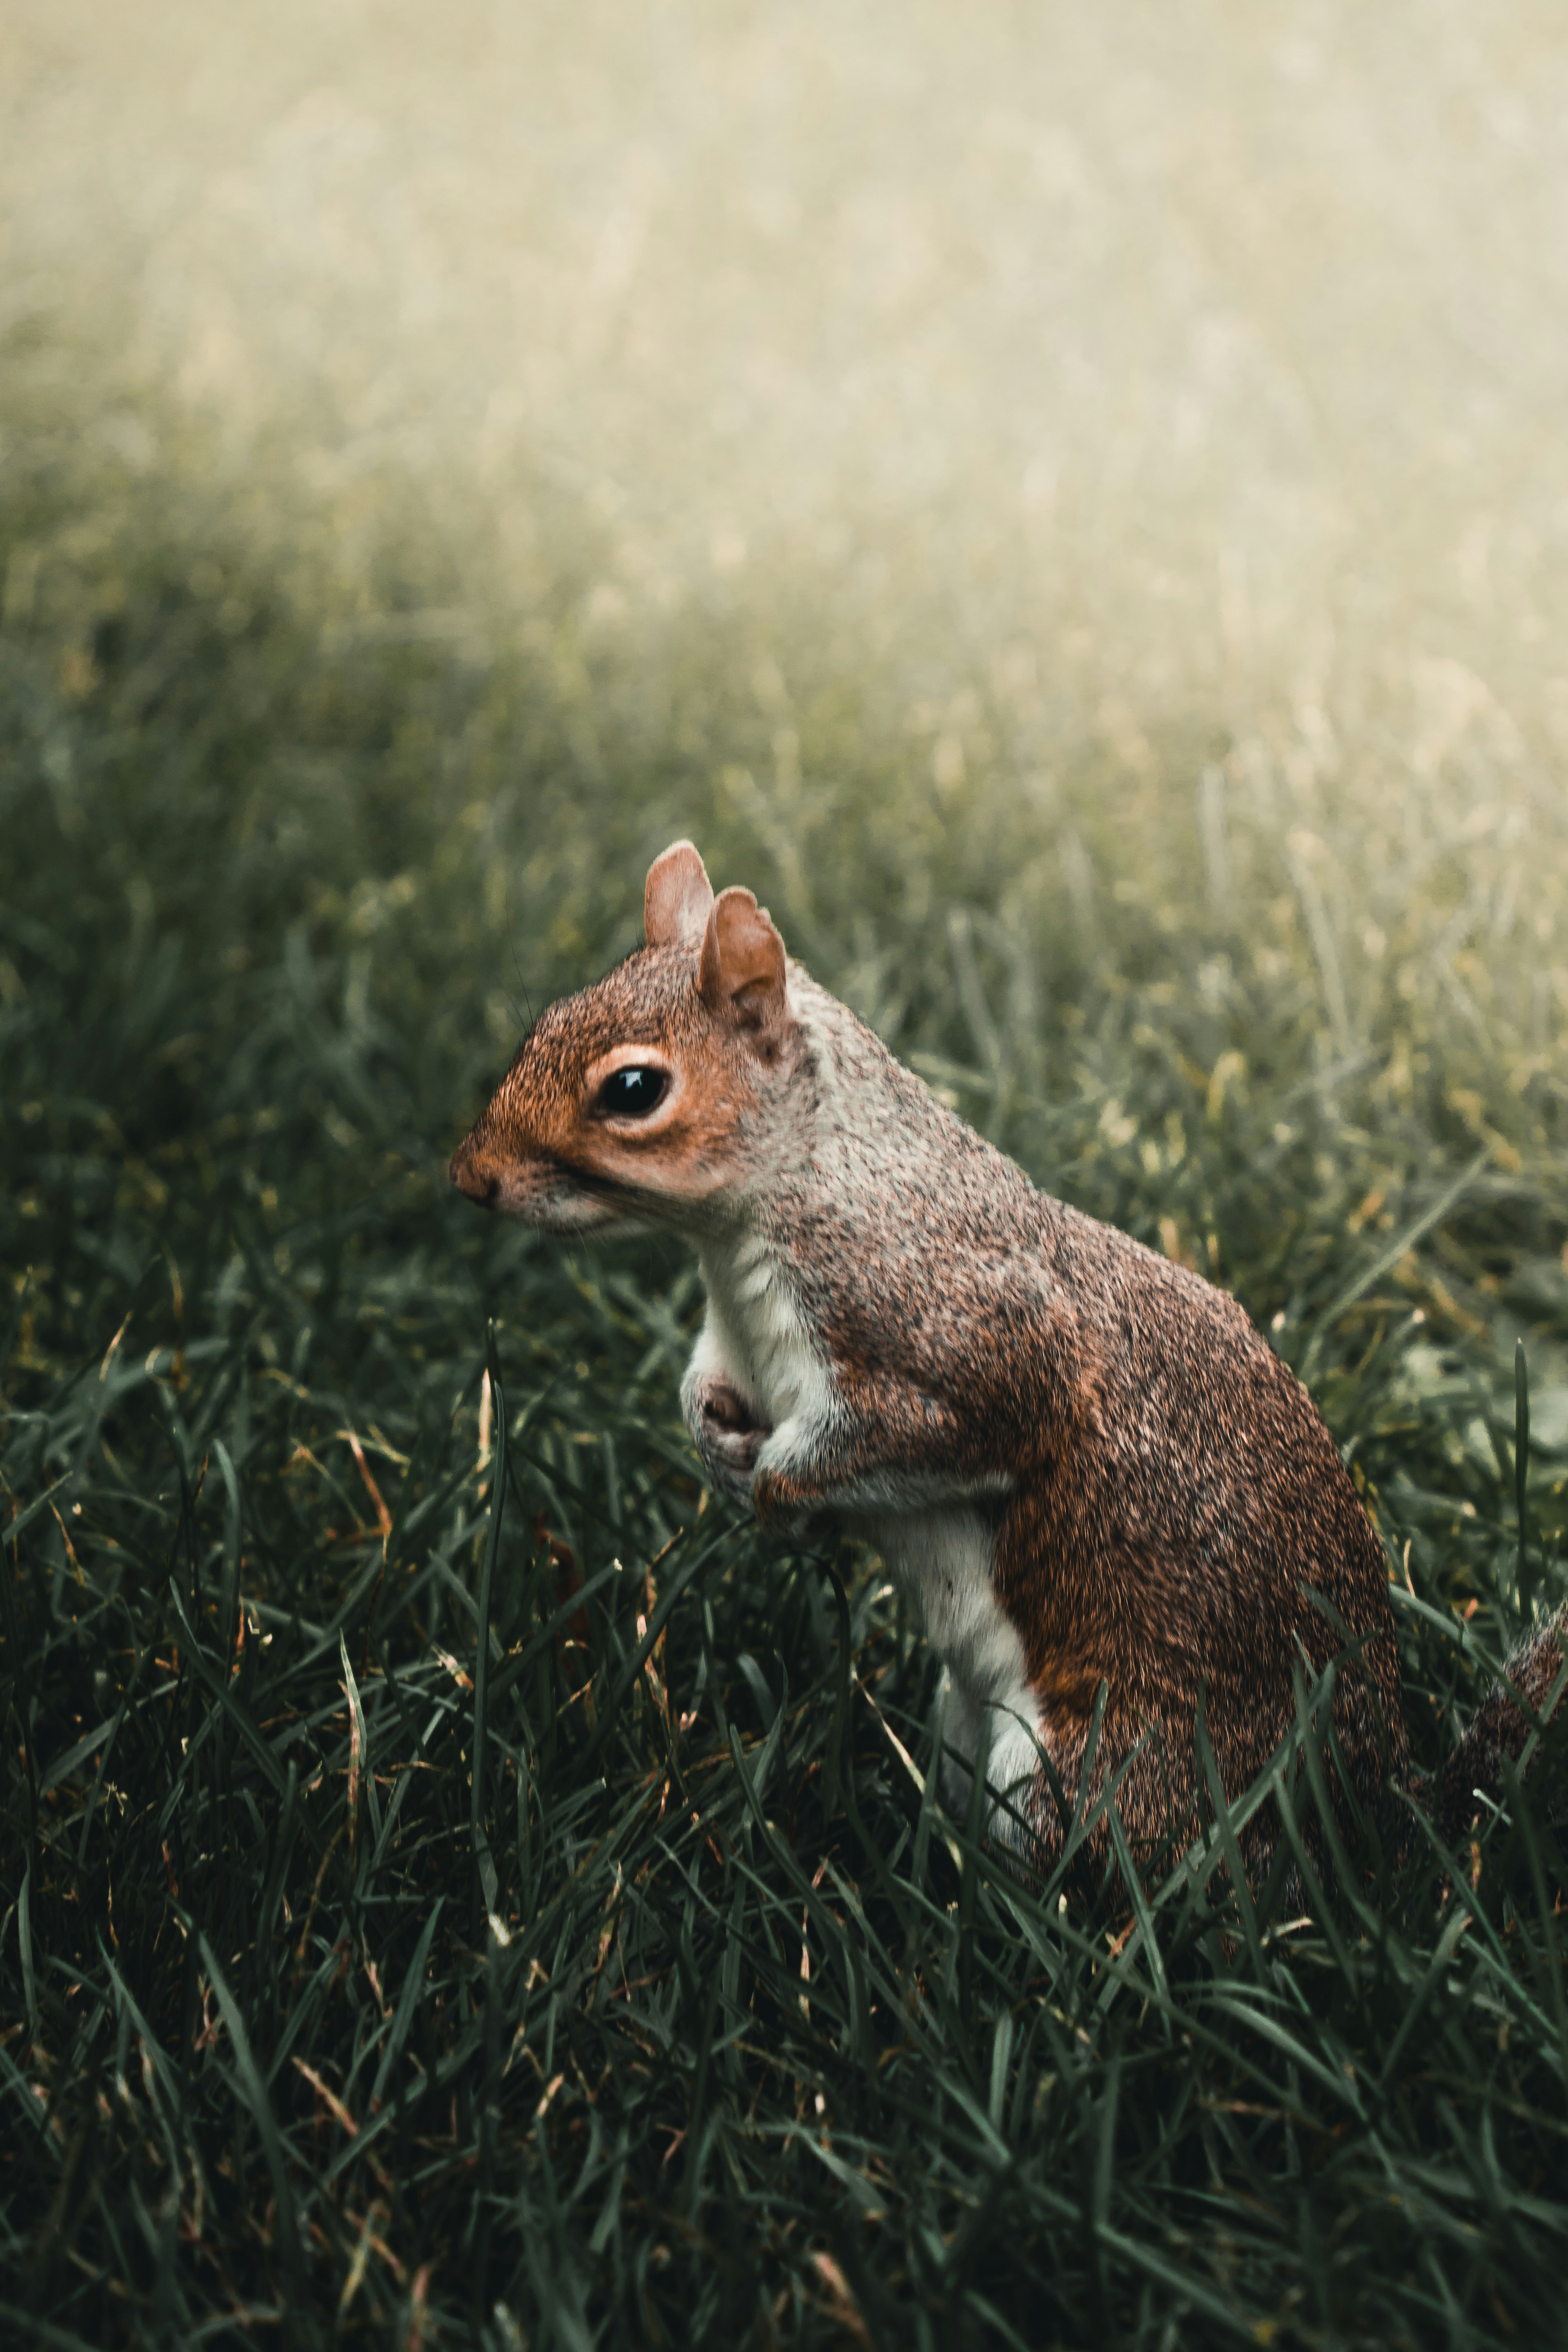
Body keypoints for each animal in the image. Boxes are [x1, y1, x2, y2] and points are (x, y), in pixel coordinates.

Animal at [450, 840, 1564, 1878]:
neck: (766, 1214)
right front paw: (714, 1451)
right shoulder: (732, 1342)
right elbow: (702, 1386)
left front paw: (777, 1488)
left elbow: (926, 1431)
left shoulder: (955, 1345)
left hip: (1093, 1774)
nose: (470, 1178)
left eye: (634, 1089)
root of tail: (1369, 1819)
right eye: (546, 1019)